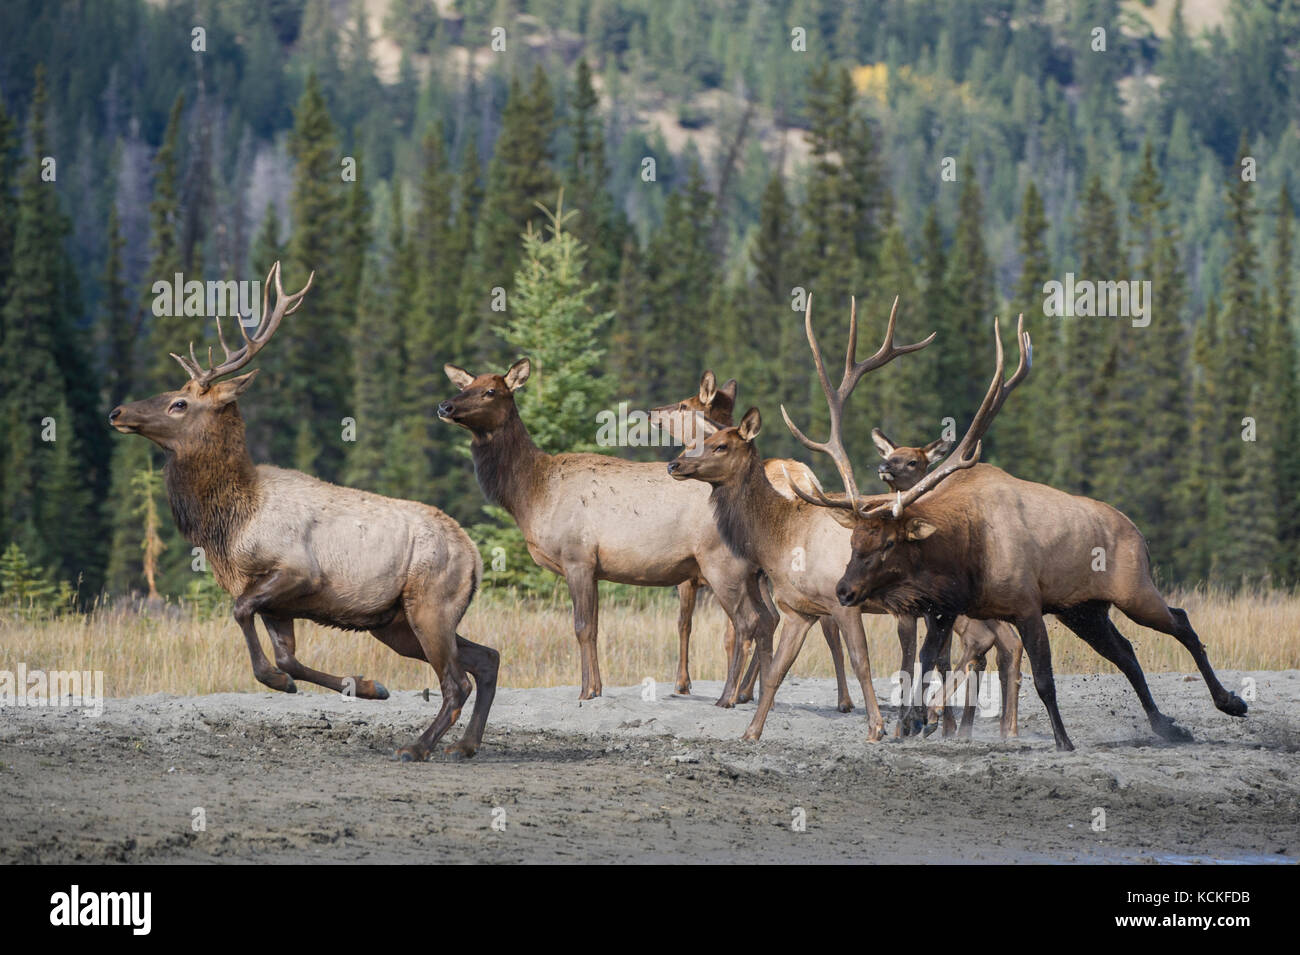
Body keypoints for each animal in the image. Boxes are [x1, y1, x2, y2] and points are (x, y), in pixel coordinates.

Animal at [108, 262, 498, 762]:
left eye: (180, 402)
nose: (117, 411)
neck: (228, 525)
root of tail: (474, 555)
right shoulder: (279, 605)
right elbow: (288, 656)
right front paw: (367, 686)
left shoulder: (296, 572)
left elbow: (242, 615)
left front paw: (282, 681)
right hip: (397, 624)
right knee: (487, 659)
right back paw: (465, 744)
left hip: (430, 603)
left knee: (456, 682)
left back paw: (417, 746)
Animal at [438, 359, 778, 708]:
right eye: (464, 386)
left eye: (491, 391)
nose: (445, 406)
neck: (531, 496)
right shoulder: (596, 568)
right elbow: (596, 627)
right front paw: (597, 687)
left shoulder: (577, 557)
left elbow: (581, 627)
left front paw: (586, 690)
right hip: (754, 573)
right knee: (768, 621)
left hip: (721, 563)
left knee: (747, 622)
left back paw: (728, 696)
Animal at [649, 371, 855, 713]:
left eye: (683, 404)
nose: (653, 412)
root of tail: (804, 478)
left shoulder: (690, 578)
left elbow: (687, 624)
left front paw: (684, 683)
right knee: (821, 623)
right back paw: (842, 699)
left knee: (770, 620)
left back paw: (744, 691)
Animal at [792, 310, 1248, 750]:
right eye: (854, 540)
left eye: (888, 543)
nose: (843, 590)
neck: (961, 556)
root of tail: (1137, 530)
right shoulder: (944, 607)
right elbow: (924, 661)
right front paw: (915, 721)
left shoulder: (1028, 606)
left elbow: (1044, 679)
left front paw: (1063, 741)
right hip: (1083, 610)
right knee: (1126, 652)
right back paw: (1165, 724)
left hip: (1133, 591)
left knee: (1181, 621)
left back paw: (1230, 702)